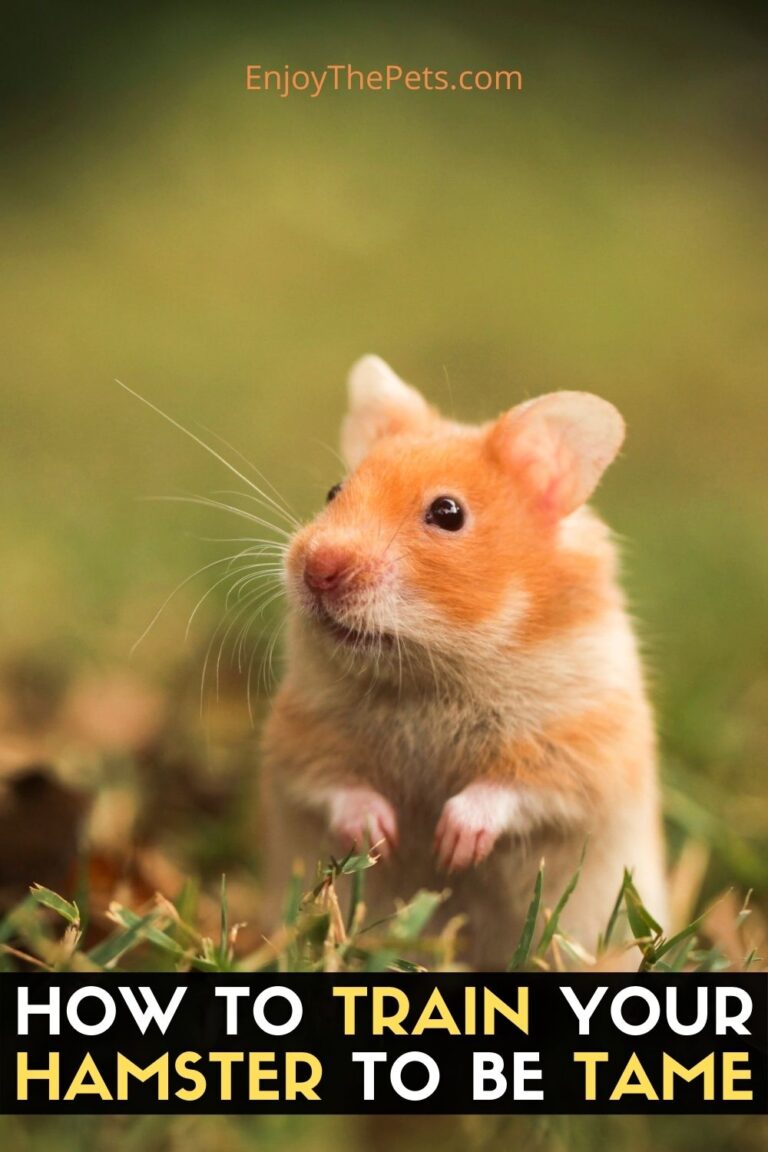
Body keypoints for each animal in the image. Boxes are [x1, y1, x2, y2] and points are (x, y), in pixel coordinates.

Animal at [260, 355, 666, 969]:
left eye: (447, 513)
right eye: (333, 491)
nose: (319, 569)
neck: (430, 675)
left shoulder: (586, 743)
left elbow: (514, 788)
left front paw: (451, 848)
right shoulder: (300, 734)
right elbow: (335, 783)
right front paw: (383, 837)